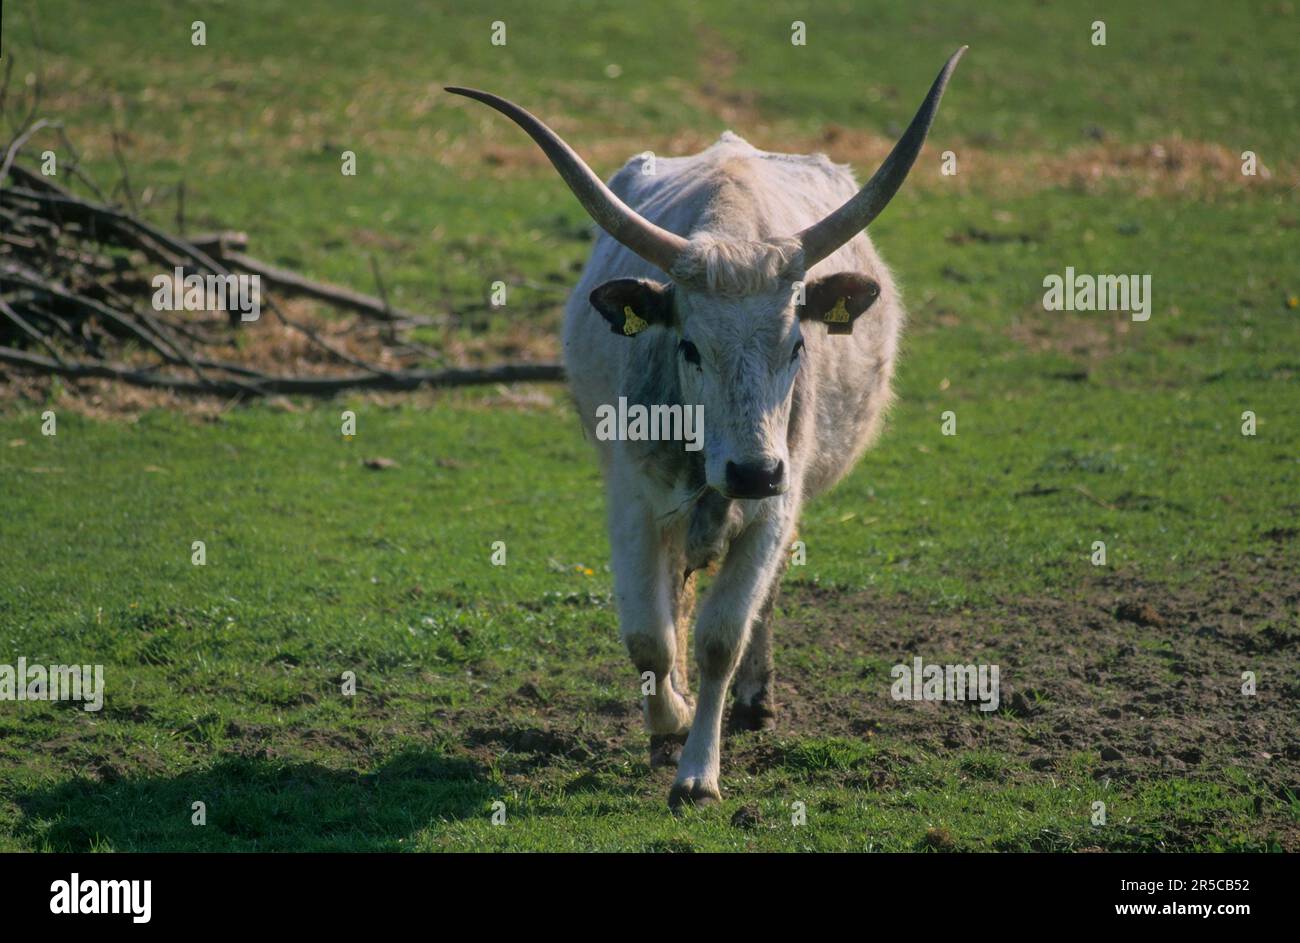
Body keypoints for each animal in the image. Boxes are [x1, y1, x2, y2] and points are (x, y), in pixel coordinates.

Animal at [447, 47, 965, 810]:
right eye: (689, 347)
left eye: (798, 345)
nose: (753, 469)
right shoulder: (631, 498)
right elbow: (648, 634)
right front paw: (669, 720)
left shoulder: (777, 501)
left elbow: (722, 634)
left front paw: (698, 770)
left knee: (760, 596)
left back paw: (756, 696)